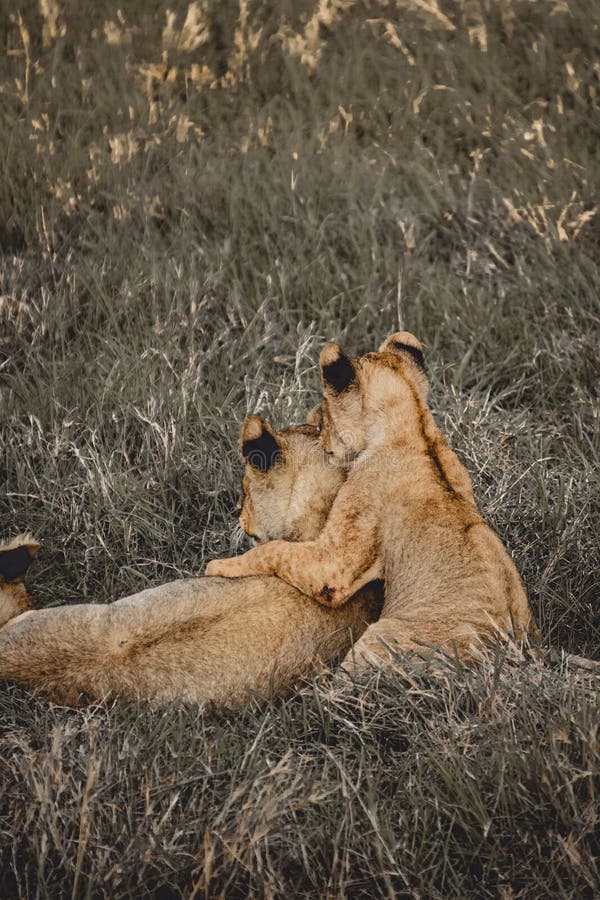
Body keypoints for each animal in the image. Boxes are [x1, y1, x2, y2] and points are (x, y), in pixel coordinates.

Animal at [206, 332, 538, 671]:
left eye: (324, 417)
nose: (322, 441)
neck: (416, 429)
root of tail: (514, 656)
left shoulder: (336, 562)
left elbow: (275, 550)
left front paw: (220, 566)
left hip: (378, 642)